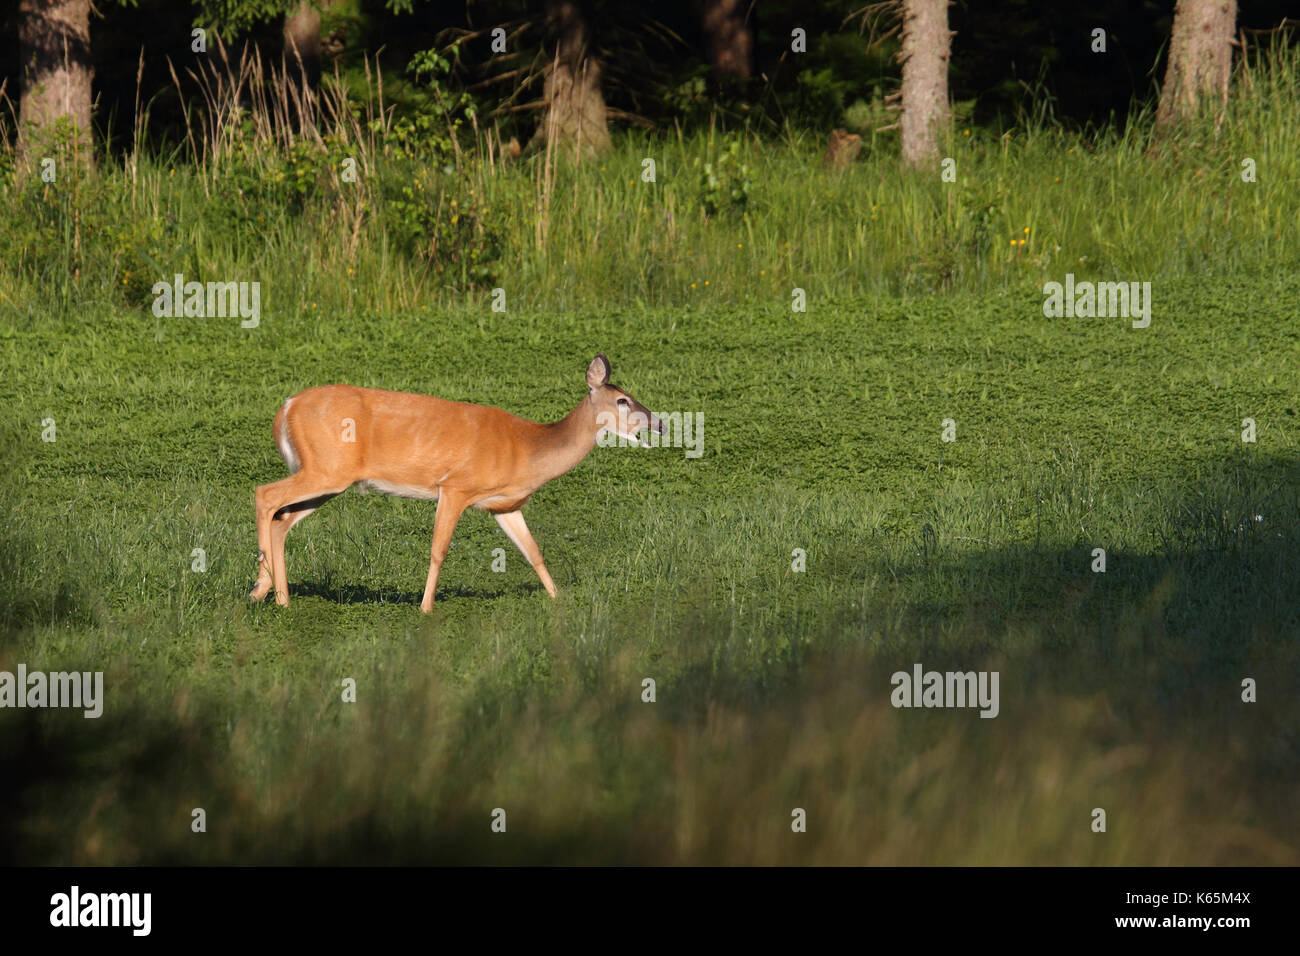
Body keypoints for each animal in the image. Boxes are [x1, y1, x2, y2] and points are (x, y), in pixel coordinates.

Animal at [249, 354, 663, 611]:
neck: (527, 448)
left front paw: (558, 598)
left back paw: (280, 597)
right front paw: (426, 608)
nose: (659, 423)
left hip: (328, 479)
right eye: (623, 401)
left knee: (282, 518)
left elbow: (534, 552)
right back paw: (260, 590)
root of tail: (285, 408)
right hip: (326, 469)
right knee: (265, 494)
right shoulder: (455, 487)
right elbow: (439, 550)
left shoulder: (505, 505)